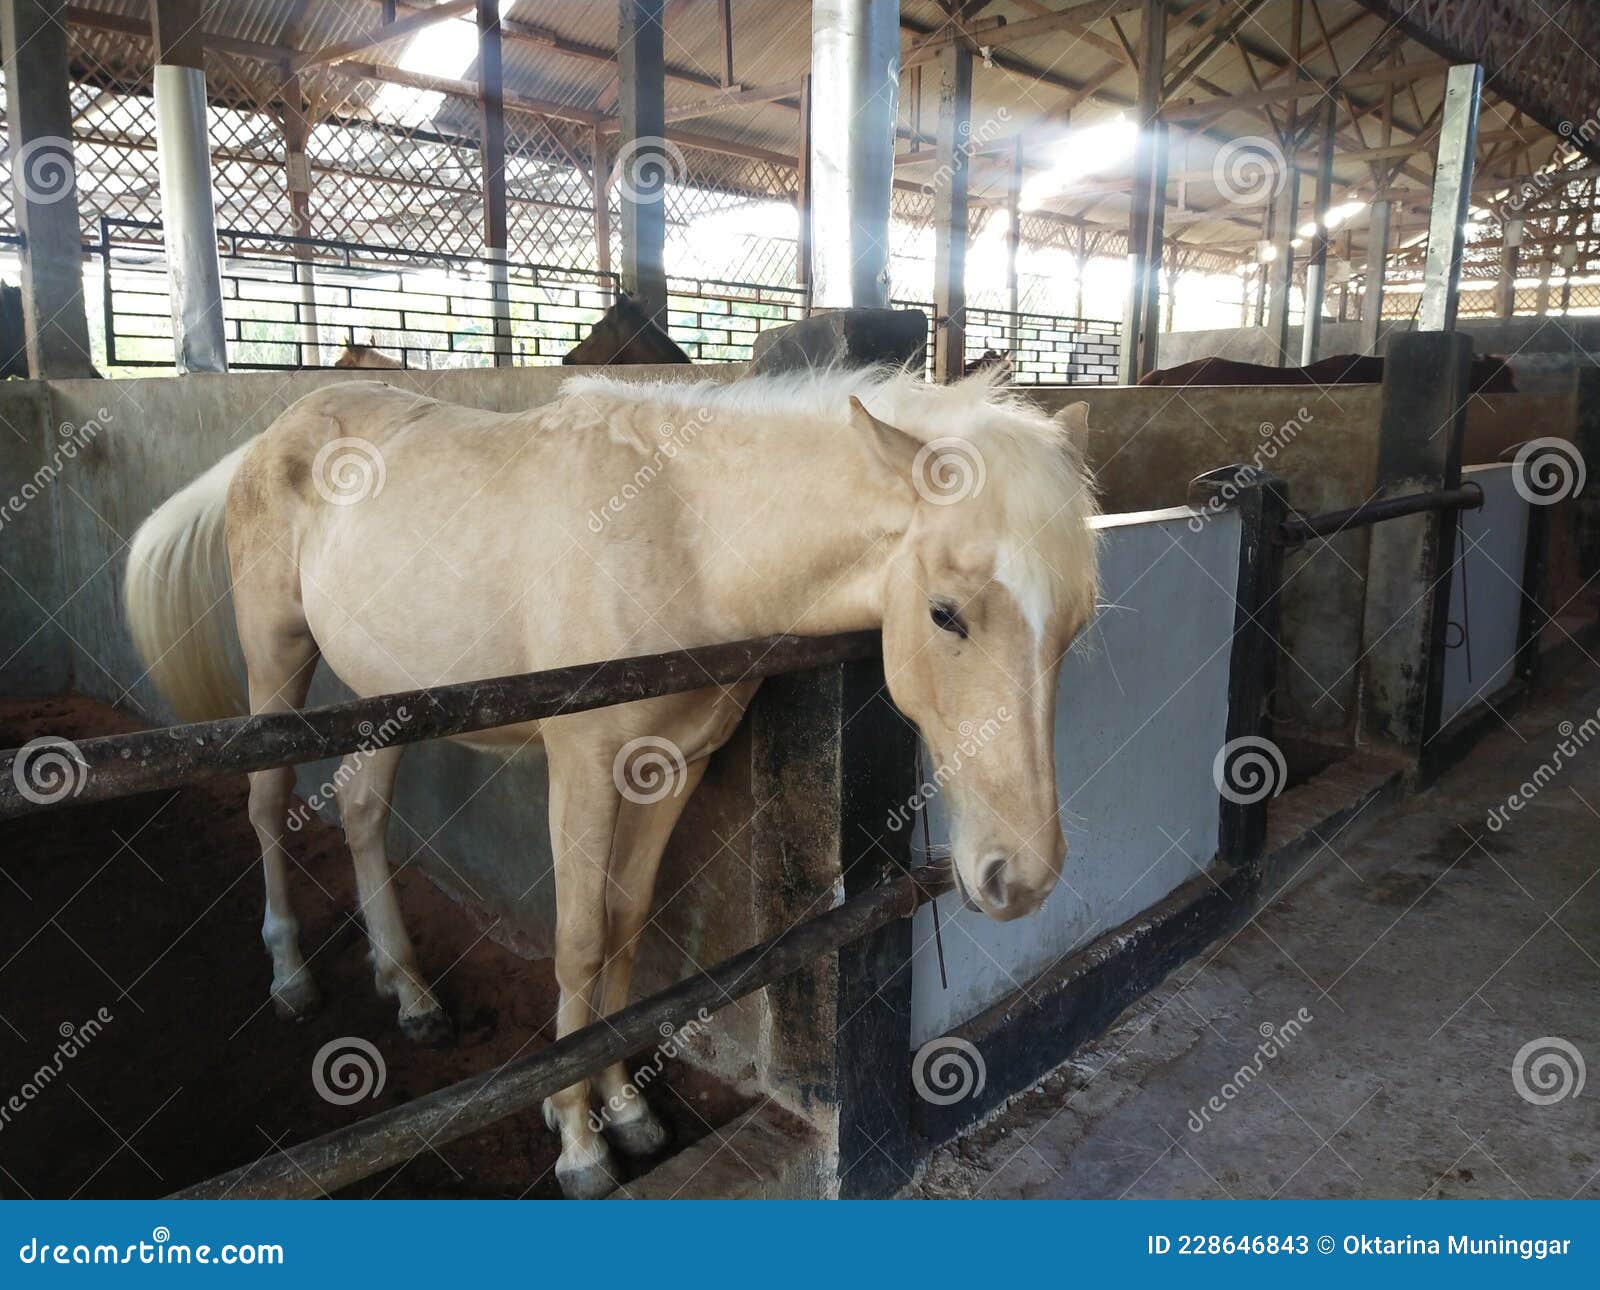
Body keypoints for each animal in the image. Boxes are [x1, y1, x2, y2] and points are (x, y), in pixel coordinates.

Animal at [121, 367, 1098, 1197]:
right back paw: (290, 975)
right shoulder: (583, 767)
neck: (682, 541)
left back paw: (410, 994)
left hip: (388, 696)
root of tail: (270, 436)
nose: (1022, 876)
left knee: (362, 812)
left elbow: (627, 926)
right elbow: (580, 942)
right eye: (945, 614)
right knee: (265, 804)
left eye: (1076, 627)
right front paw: (577, 1139)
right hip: (277, 658)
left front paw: (626, 1108)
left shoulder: (673, 767)